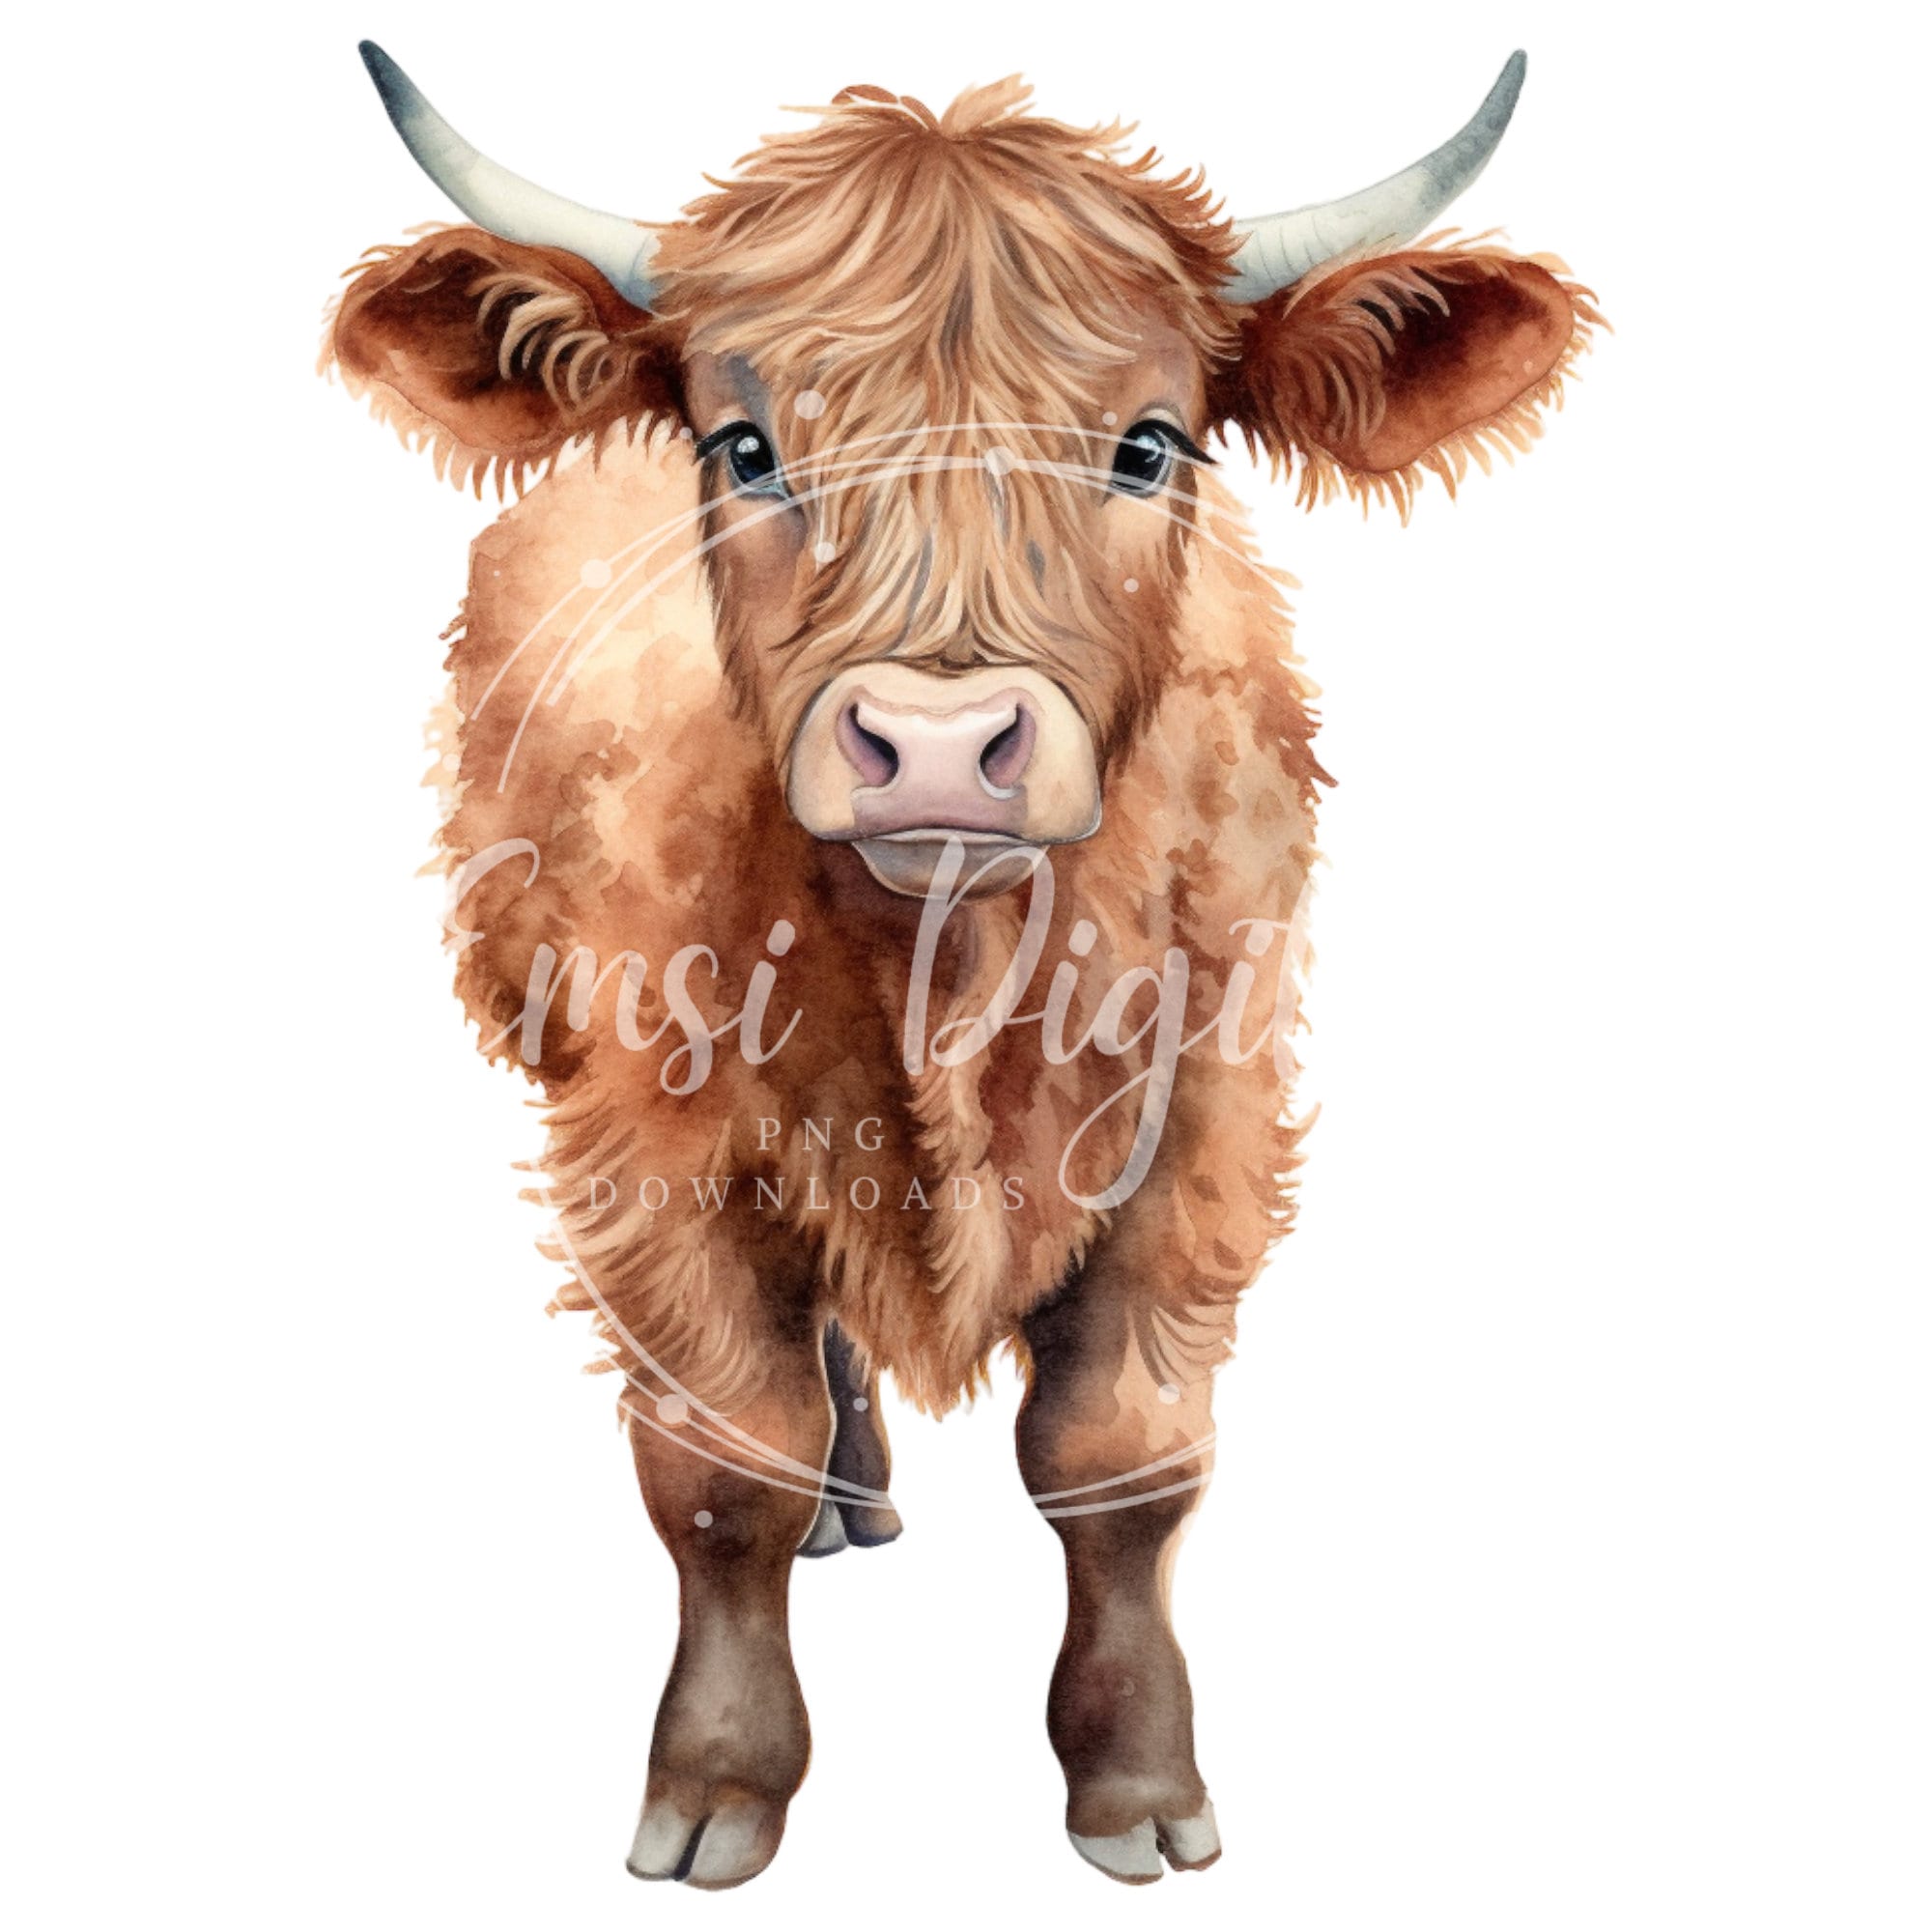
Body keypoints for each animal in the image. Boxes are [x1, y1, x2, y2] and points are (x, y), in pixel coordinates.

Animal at [326, 40, 1597, 1889]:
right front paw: (717, 1785)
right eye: (745, 443)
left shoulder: (1201, 1121)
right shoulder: (650, 1140)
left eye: (1149, 444)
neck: (951, 974)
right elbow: (724, 1461)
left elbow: (1121, 1462)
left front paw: (1138, 1785)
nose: (935, 747)